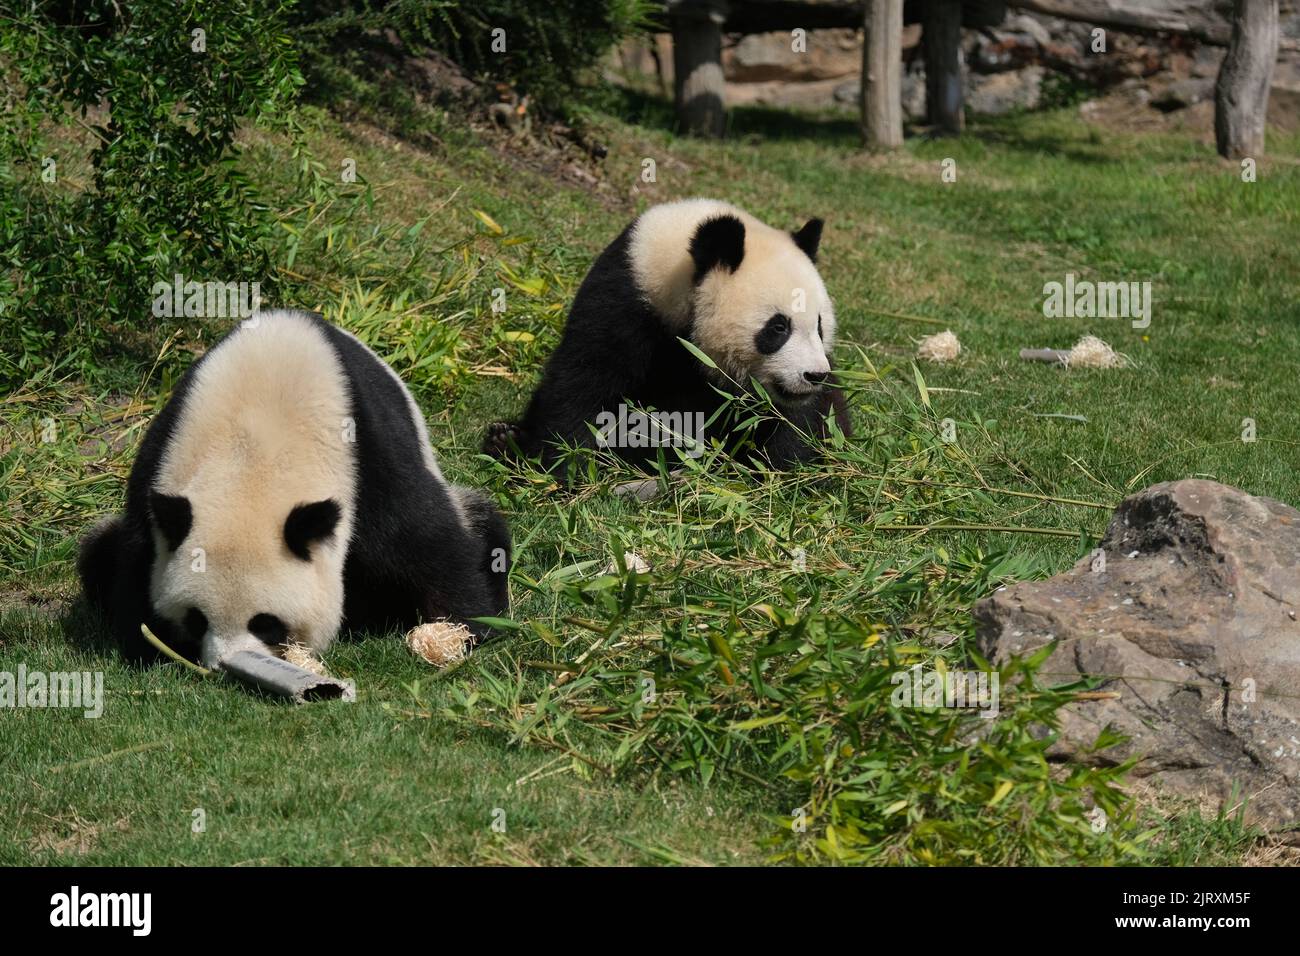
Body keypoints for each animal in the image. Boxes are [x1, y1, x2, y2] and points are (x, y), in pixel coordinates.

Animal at [78, 309, 510, 669]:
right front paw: (149, 645)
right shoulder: (164, 457)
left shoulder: (369, 456)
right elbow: (136, 557)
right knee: (98, 549)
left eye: (265, 623)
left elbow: (424, 538)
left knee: (483, 529)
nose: (225, 665)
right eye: (197, 619)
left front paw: (461, 629)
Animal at [484, 198, 851, 475]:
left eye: (819, 326)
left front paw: (780, 472)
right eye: (778, 327)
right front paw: (566, 467)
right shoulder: (624, 298)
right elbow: (583, 380)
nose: (814, 375)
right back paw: (506, 438)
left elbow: (801, 419)